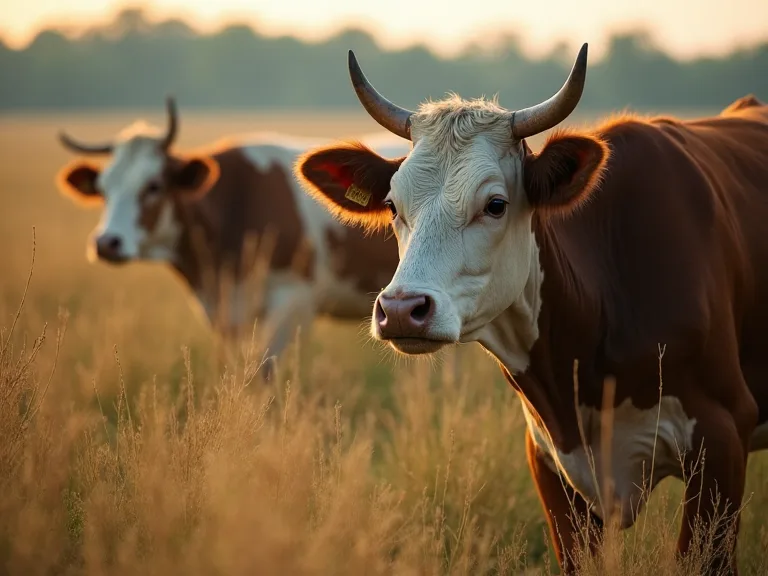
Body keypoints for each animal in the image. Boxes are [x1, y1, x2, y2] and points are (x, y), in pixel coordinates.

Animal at [56, 98, 408, 378]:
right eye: (102, 189)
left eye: (153, 185)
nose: (106, 243)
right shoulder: (225, 313)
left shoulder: (292, 302)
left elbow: (264, 373)